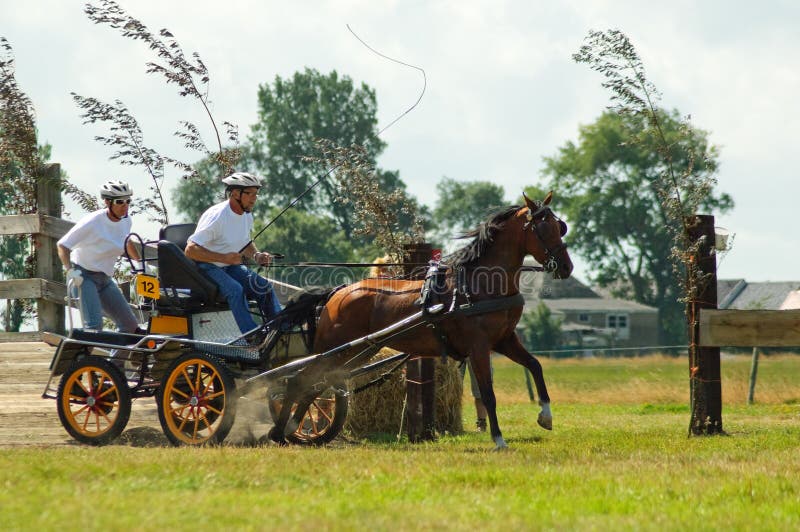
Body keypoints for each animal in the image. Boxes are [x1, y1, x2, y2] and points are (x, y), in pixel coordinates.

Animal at [270, 191, 572, 449]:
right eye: (543, 229)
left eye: (560, 227)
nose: (567, 267)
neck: (477, 286)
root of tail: (337, 293)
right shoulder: (478, 346)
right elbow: (488, 393)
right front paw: (499, 440)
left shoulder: (504, 340)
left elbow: (535, 366)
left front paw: (546, 416)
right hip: (334, 349)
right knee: (299, 381)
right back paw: (280, 432)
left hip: (356, 351)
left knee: (314, 386)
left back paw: (293, 429)